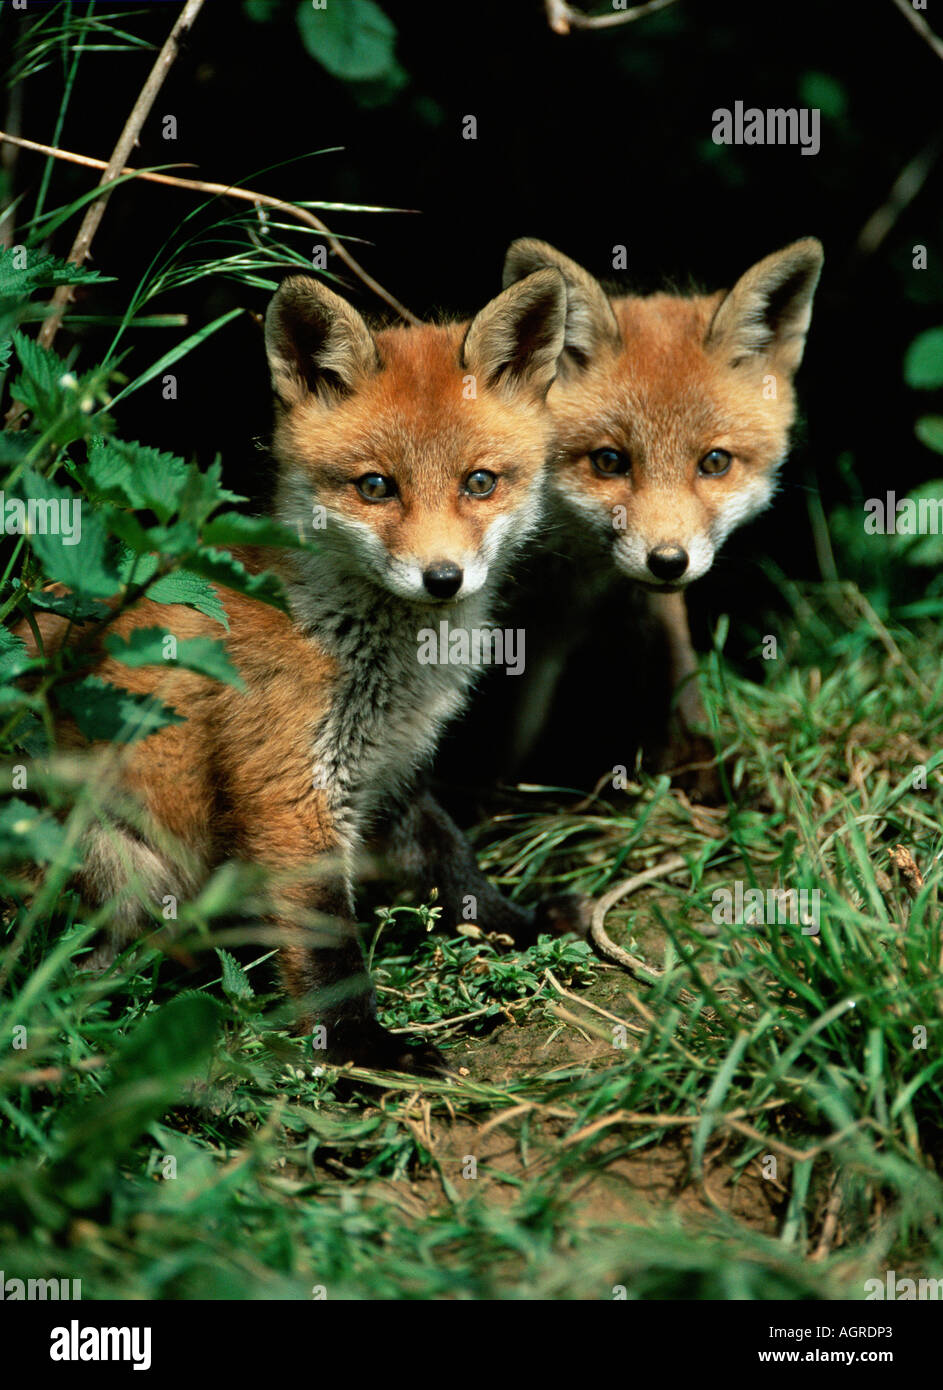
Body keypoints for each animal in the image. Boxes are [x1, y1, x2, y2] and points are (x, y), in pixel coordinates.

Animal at [22, 268, 583, 1073]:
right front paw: (361, 1050)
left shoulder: (393, 772)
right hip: (118, 863)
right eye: (376, 487)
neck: (374, 667)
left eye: (480, 482)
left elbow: (454, 860)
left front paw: (520, 921)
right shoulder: (288, 792)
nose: (443, 578)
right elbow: (329, 949)